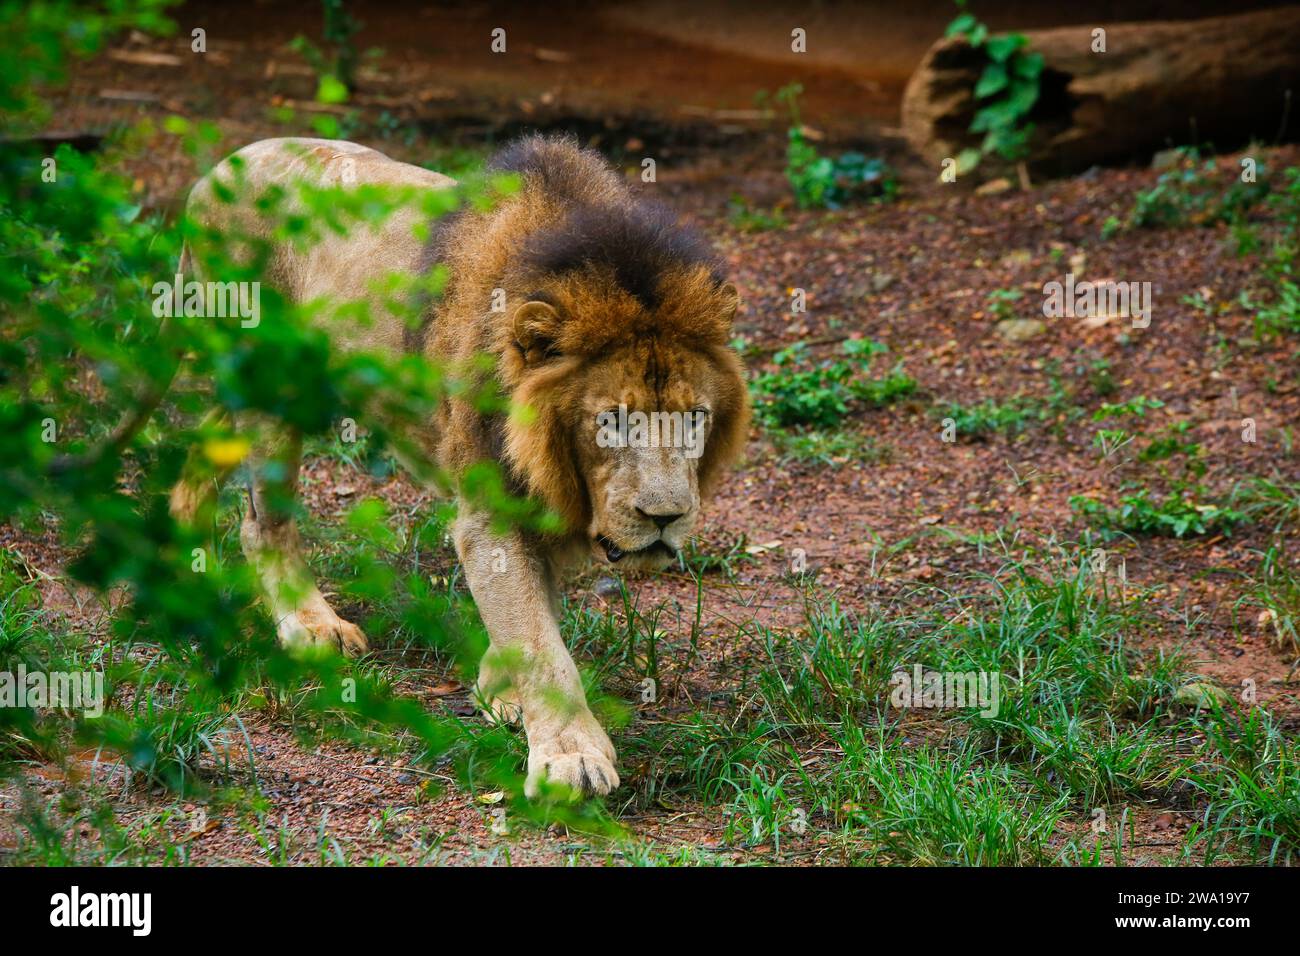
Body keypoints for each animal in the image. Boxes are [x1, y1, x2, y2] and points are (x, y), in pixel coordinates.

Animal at [170, 134, 749, 798]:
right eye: (611, 421)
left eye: (695, 418)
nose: (666, 517)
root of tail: (216, 170)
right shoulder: (489, 512)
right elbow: (539, 642)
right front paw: (570, 758)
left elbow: (535, 612)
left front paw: (503, 694)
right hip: (272, 386)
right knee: (261, 523)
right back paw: (312, 626)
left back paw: (182, 552)